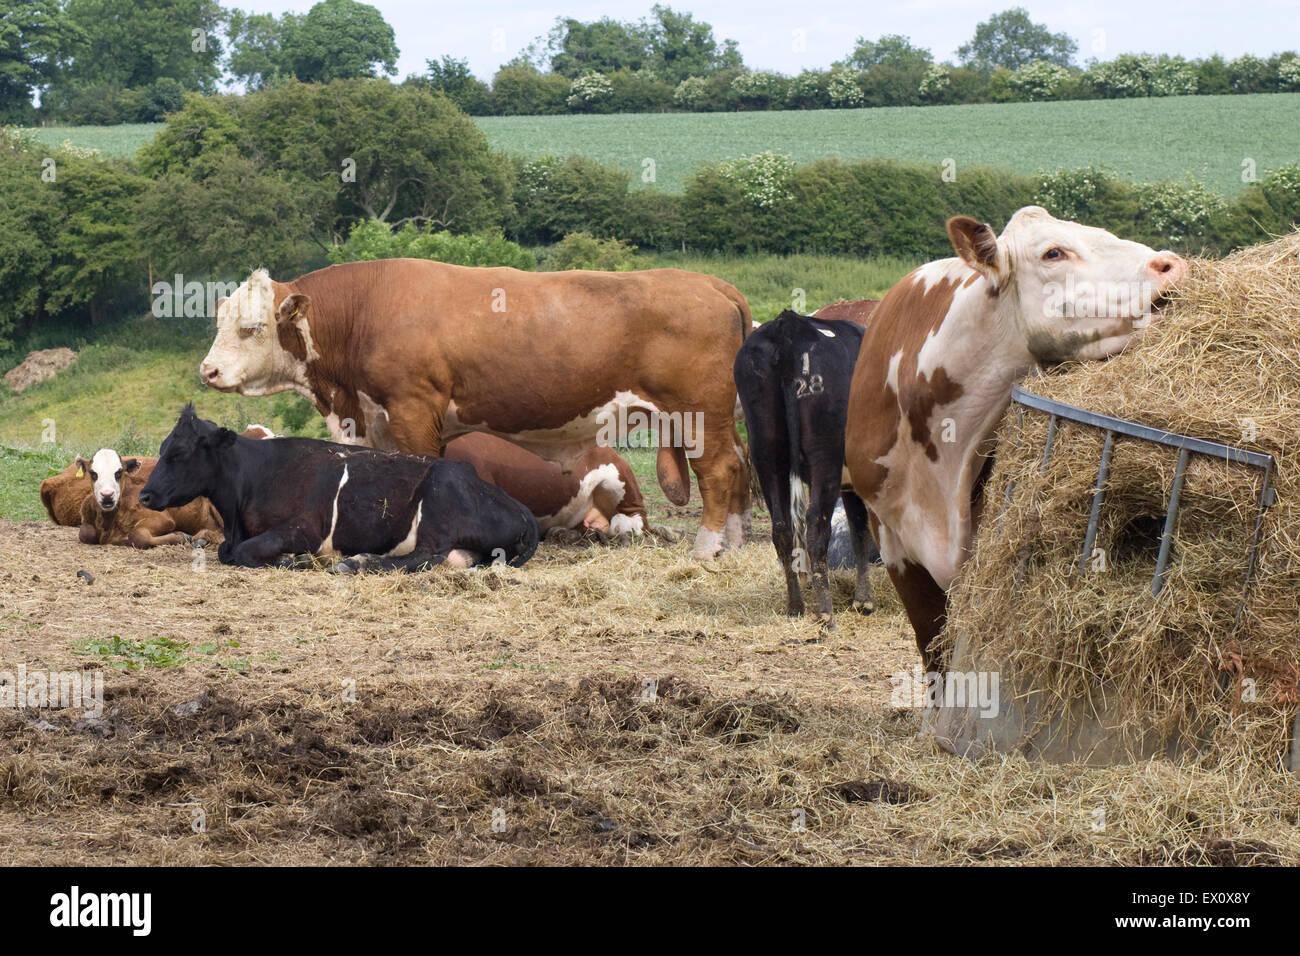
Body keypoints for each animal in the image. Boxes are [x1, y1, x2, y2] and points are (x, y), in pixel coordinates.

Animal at [74, 449, 224, 549]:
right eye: (93, 473)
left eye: (119, 472)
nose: (107, 495)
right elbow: (85, 533)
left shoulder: (162, 519)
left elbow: (138, 536)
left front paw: (181, 536)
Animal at [138, 406, 539, 572]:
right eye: (161, 447)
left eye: (178, 452)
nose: (144, 495)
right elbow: (226, 551)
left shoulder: (304, 530)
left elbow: (245, 552)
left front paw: (296, 560)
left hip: (438, 507)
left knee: (424, 556)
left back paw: (358, 562)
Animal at [735, 310, 879, 627]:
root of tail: (788, 325)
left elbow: (859, 530)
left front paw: (863, 599)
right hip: (824, 455)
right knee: (815, 525)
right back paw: (825, 612)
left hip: (767, 450)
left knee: (782, 526)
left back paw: (796, 605)